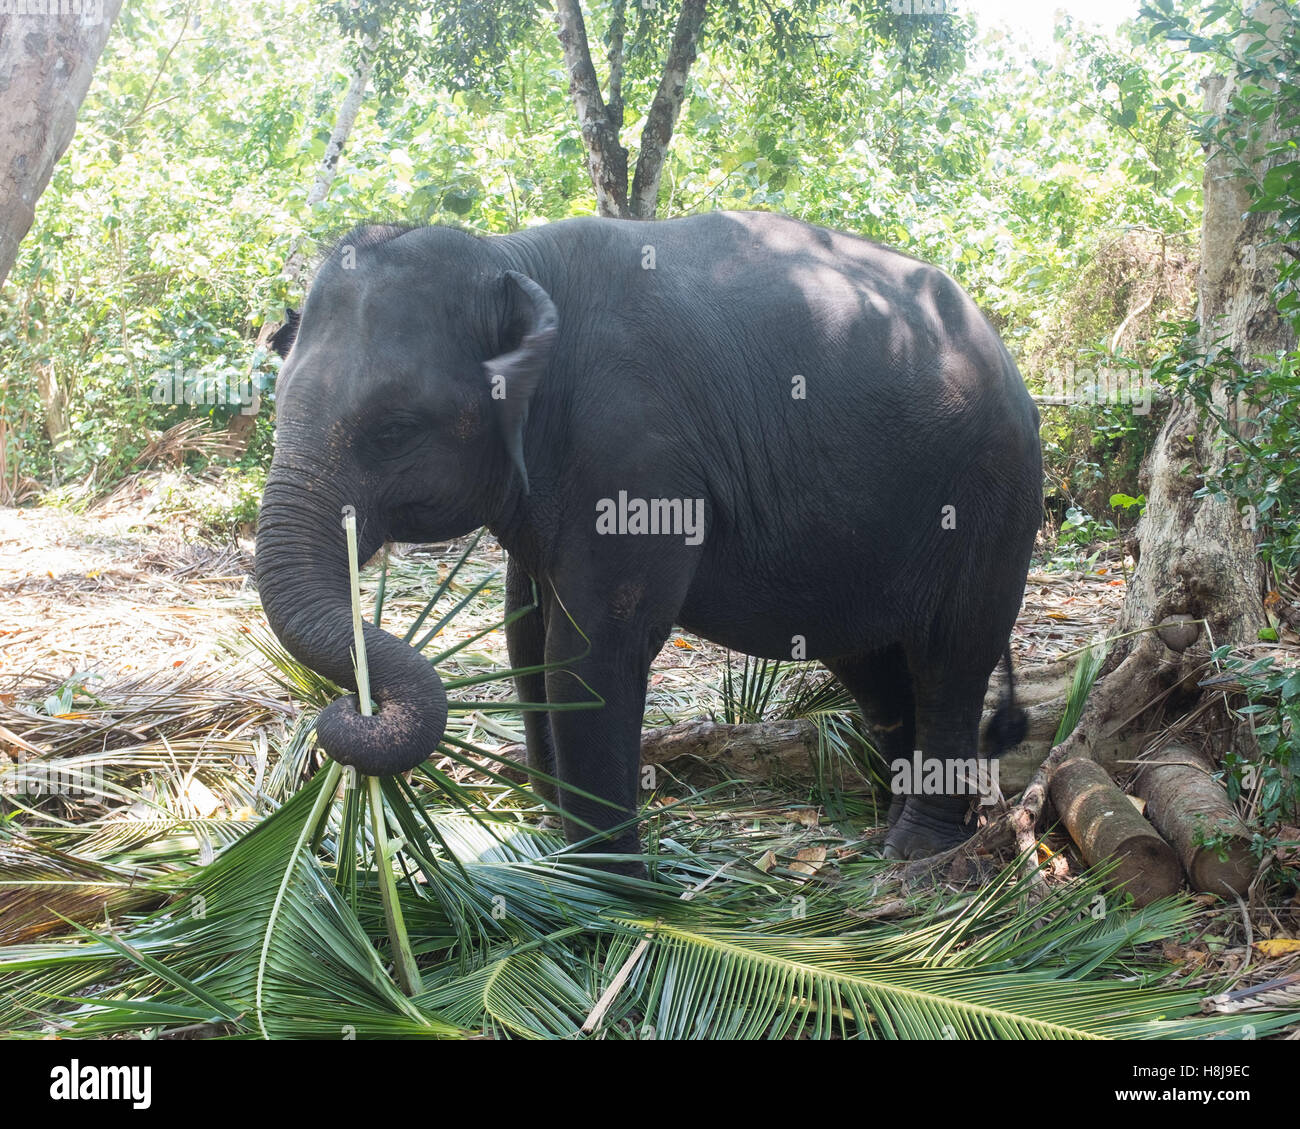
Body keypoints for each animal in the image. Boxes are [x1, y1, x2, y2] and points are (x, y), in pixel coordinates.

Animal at [255, 210, 1041, 867]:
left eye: (393, 430)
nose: (347, 705)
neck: (510, 254)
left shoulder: (637, 454)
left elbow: (591, 650)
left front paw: (609, 889)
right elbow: (526, 637)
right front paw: (555, 838)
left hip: (991, 497)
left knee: (953, 654)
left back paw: (918, 852)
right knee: (874, 665)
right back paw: (888, 815)